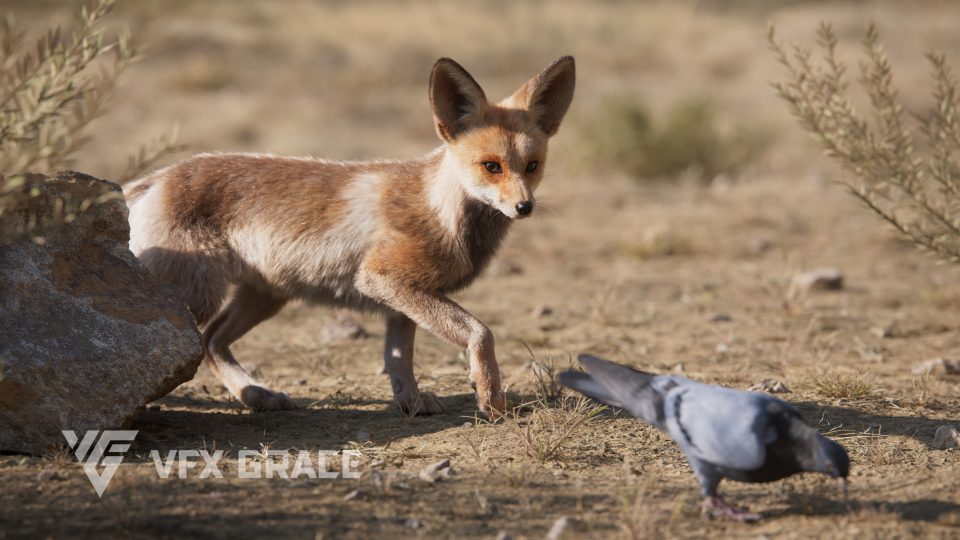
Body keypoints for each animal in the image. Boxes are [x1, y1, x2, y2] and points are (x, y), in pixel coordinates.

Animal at [123, 56, 576, 417]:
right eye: (491, 166)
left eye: (532, 166)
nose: (524, 207)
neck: (442, 210)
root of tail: (158, 177)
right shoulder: (383, 278)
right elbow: (480, 333)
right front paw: (489, 396)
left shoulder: (402, 299)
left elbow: (400, 362)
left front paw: (412, 404)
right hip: (198, 297)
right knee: (188, 344)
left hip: (264, 297)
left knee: (214, 342)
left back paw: (255, 394)